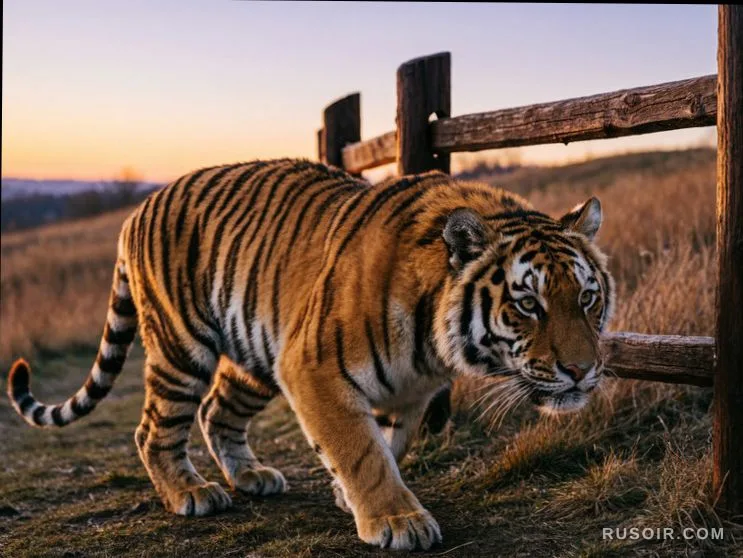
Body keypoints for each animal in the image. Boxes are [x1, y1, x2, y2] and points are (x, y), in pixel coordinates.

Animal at [7, 158, 614, 551]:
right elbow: (361, 449)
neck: (432, 343)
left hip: (256, 356)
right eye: (528, 304)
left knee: (216, 411)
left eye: (587, 298)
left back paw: (250, 476)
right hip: (183, 347)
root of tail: (139, 208)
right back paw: (191, 492)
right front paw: (397, 520)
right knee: (155, 428)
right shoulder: (314, 368)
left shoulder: (407, 389)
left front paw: (353, 498)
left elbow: (388, 443)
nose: (582, 371)